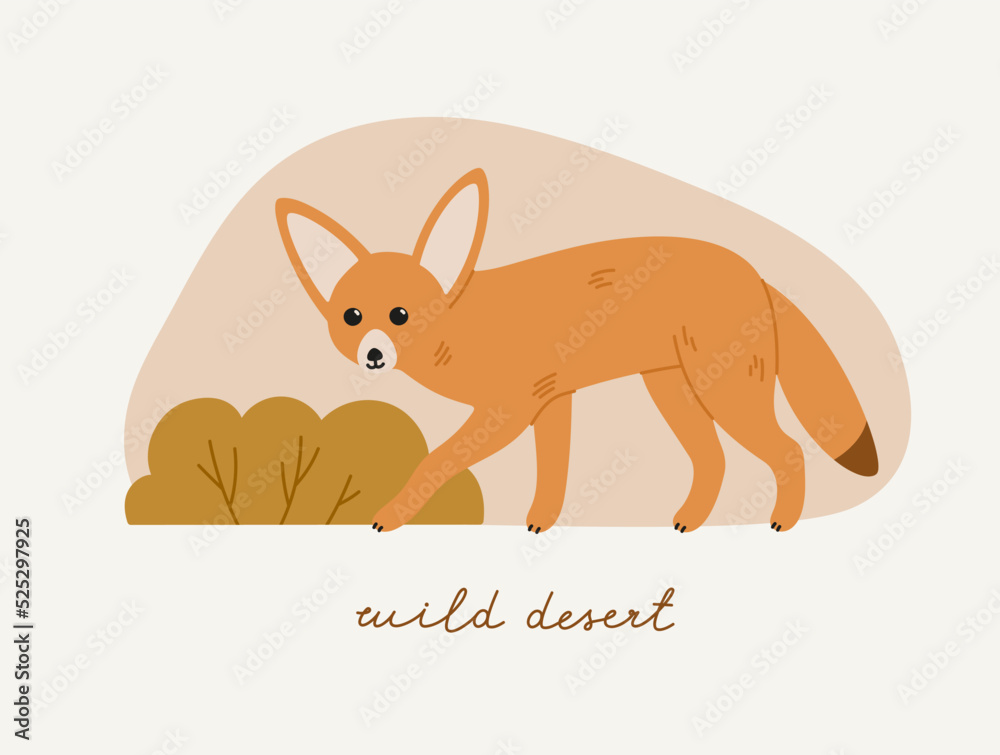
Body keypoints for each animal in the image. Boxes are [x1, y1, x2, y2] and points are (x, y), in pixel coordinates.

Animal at [276, 168, 878, 534]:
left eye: (401, 316)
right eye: (353, 318)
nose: (374, 356)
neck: (462, 326)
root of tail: (752, 270)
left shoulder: (509, 410)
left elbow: (438, 459)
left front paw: (394, 513)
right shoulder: (552, 402)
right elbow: (554, 470)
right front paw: (542, 520)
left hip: (723, 389)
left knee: (789, 449)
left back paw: (782, 522)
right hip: (674, 390)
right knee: (715, 459)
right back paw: (689, 519)